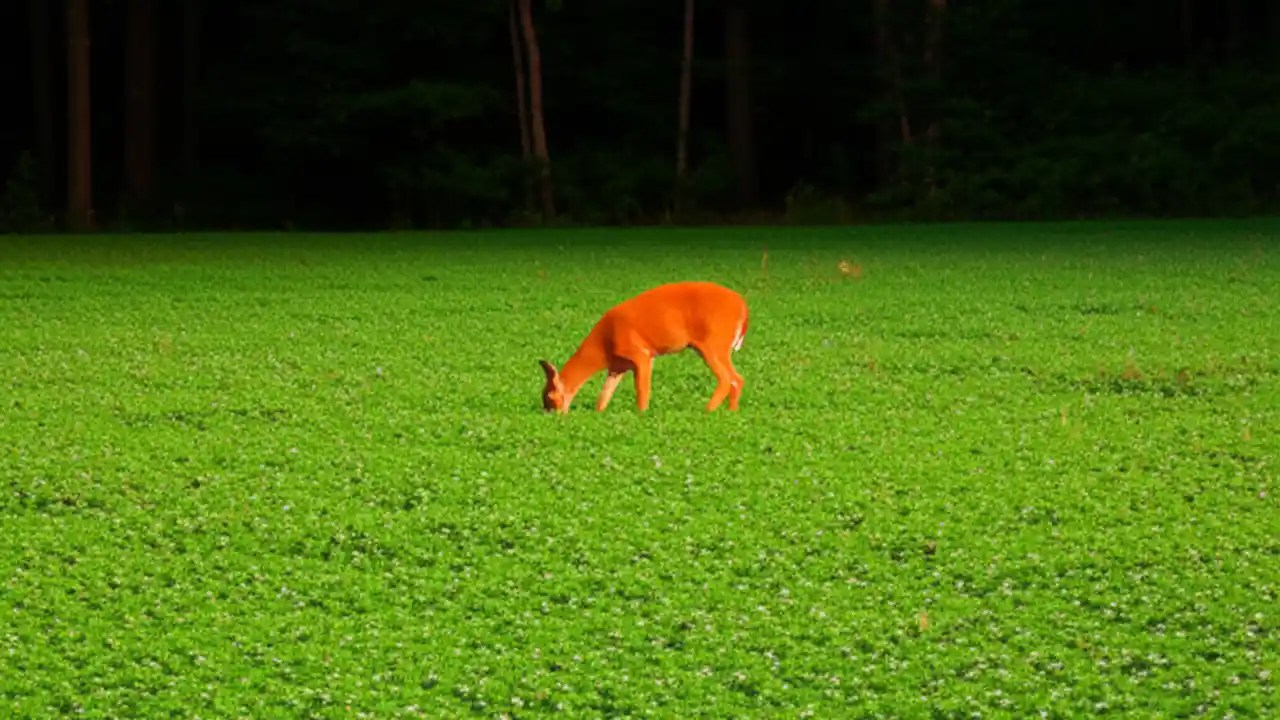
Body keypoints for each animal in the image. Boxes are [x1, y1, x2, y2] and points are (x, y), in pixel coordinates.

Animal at [539, 281, 749, 413]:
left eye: (549, 397)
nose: (550, 414)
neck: (604, 344)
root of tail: (743, 307)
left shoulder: (641, 353)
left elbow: (642, 389)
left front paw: (641, 414)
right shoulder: (618, 366)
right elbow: (604, 395)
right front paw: (598, 413)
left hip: (713, 343)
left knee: (728, 378)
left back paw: (707, 411)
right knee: (737, 379)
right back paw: (731, 411)